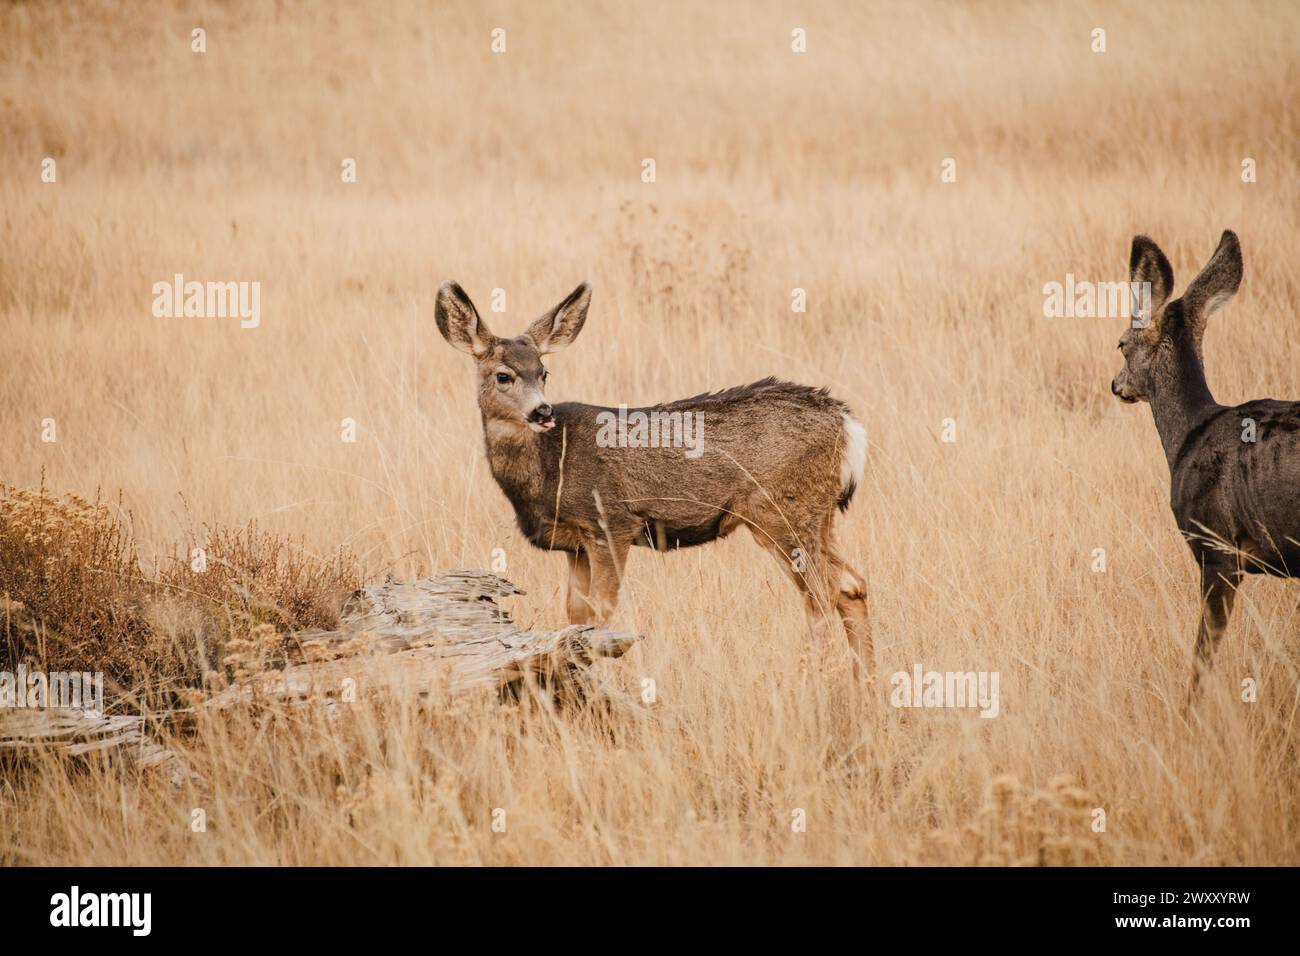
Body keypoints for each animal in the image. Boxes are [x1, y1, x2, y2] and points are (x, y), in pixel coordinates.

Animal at [435, 281, 873, 675]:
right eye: (503, 375)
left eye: (544, 372)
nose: (542, 412)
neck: (548, 468)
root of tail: (848, 423)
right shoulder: (575, 544)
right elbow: (575, 616)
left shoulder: (612, 523)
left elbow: (601, 615)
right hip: (818, 516)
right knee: (852, 585)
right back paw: (863, 681)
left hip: (781, 510)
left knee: (822, 592)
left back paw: (810, 677)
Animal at [1111, 230, 1300, 707]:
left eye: (1121, 343)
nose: (1115, 385)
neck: (1189, 433)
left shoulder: (1217, 548)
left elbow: (1202, 656)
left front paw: (1189, 713)